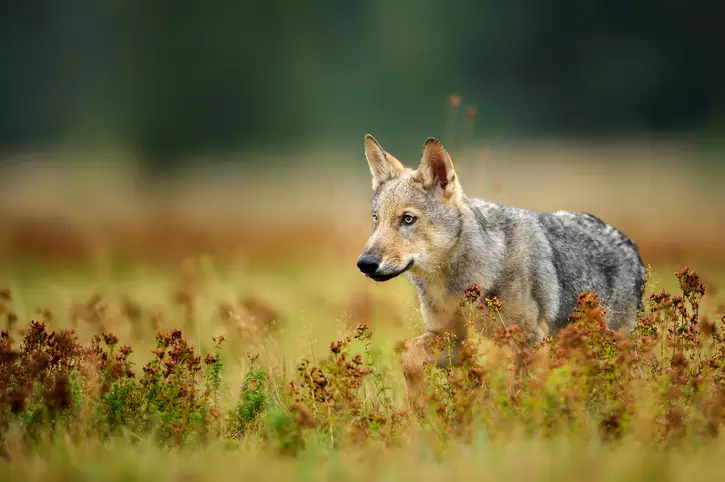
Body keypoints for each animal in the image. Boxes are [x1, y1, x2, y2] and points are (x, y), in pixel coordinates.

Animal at [356, 134, 644, 408]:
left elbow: (520, 394)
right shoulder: (452, 340)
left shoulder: (530, 342)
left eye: (407, 219)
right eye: (376, 219)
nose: (365, 263)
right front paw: (419, 407)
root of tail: (629, 244)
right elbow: (409, 354)